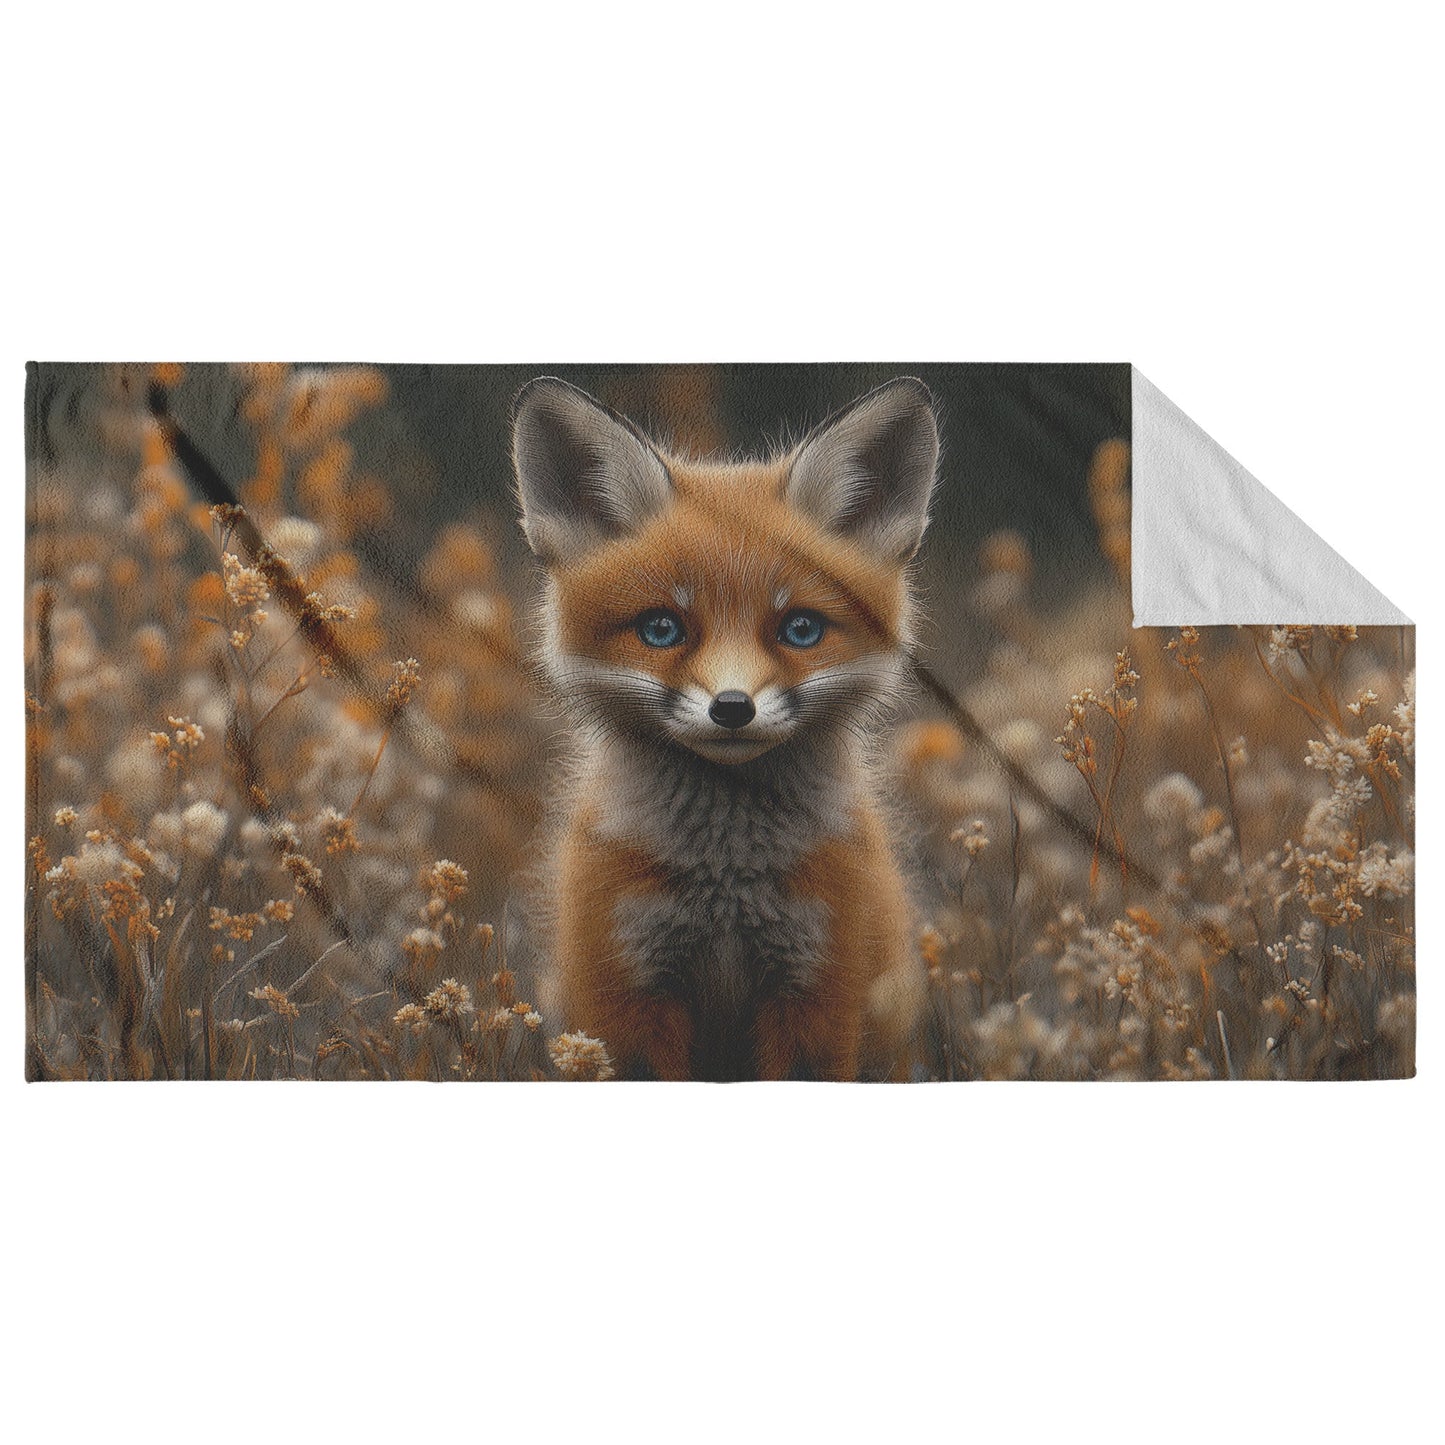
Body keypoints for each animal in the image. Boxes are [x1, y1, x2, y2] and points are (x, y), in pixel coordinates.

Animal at [512, 375, 940, 1081]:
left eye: (801, 629)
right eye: (662, 628)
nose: (733, 707)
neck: (726, 879)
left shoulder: (817, 988)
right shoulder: (628, 991)